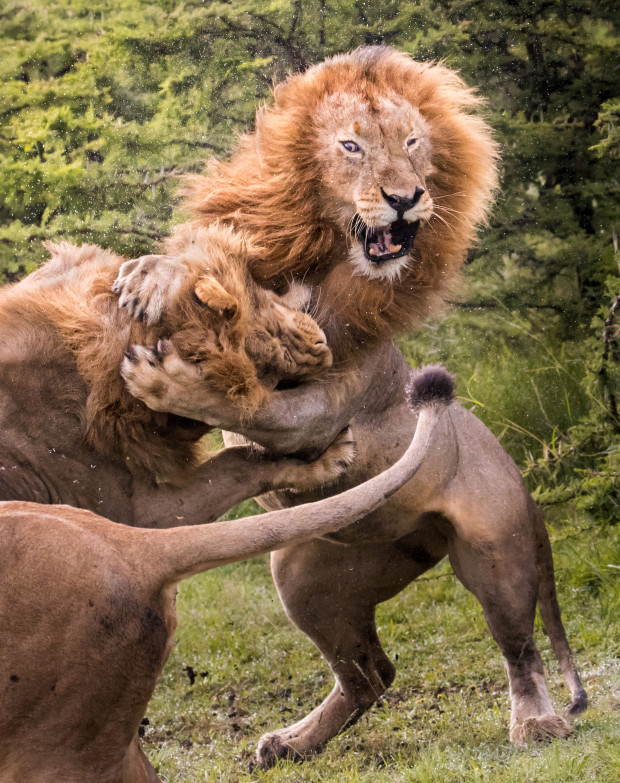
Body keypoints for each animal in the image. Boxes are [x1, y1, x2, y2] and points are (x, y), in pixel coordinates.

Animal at [113, 46, 586, 765]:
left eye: (413, 142)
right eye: (351, 146)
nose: (404, 198)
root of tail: (525, 487)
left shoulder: (328, 404)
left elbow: (254, 404)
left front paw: (168, 379)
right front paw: (155, 279)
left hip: (494, 551)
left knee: (519, 646)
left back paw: (535, 722)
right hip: (305, 574)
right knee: (371, 673)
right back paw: (291, 742)